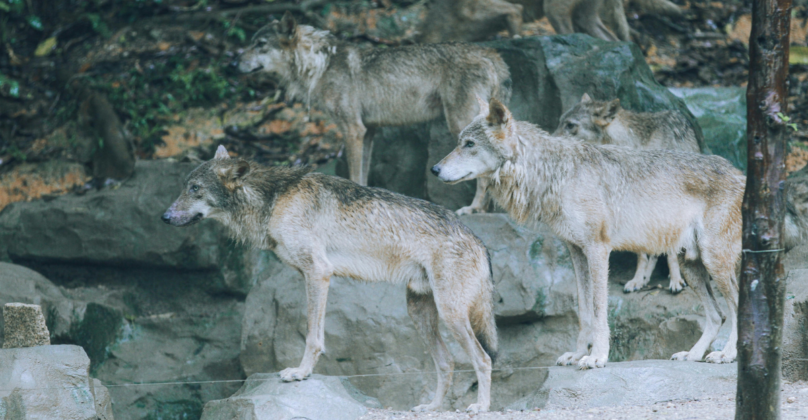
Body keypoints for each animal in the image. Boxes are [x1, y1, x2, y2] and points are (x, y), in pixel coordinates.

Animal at [162, 145, 498, 412]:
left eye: (194, 188)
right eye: (186, 187)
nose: (164, 217)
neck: (274, 200)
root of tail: (479, 240)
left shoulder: (318, 272)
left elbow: (313, 336)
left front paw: (300, 373)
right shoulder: (309, 274)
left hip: (450, 314)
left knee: (483, 359)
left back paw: (480, 407)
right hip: (420, 313)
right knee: (447, 362)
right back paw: (431, 408)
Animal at [237, 11, 510, 214]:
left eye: (260, 45)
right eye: (251, 43)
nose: (233, 63)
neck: (320, 66)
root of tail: (491, 54)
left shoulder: (353, 130)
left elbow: (354, 174)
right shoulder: (368, 132)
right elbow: (363, 177)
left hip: (460, 125)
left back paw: (474, 209)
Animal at [554, 93, 703, 294]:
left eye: (570, 125)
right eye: (560, 121)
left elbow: (671, 253)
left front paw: (675, 280)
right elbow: (641, 254)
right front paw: (637, 279)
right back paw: (645, 279)